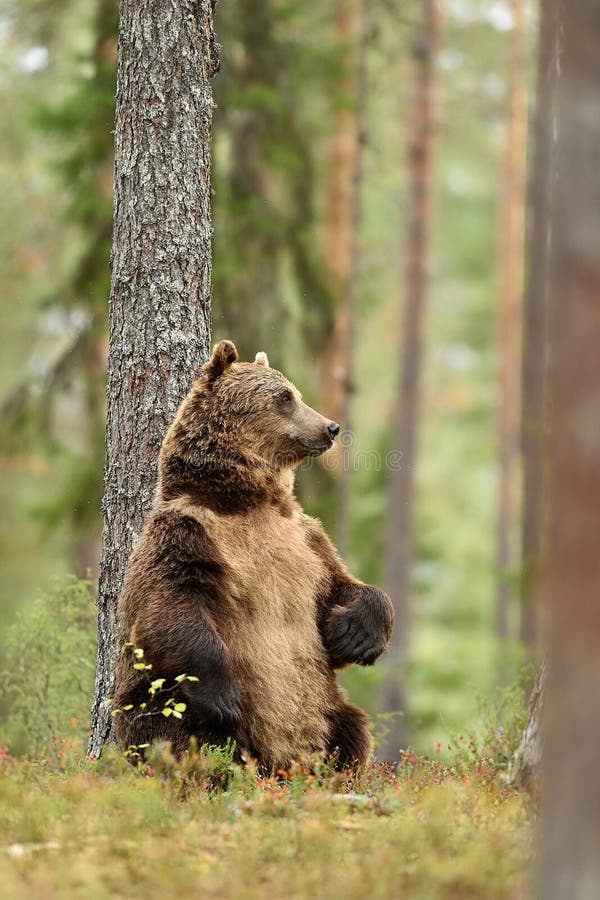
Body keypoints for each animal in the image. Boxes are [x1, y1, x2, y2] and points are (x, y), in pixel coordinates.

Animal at [113, 340, 394, 769]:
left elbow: (342, 586)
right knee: (173, 731)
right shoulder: (187, 534)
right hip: (159, 697)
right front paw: (223, 697)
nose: (330, 427)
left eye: (295, 393)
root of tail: (280, 759)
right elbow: (170, 605)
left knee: (353, 730)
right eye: (285, 397)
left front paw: (352, 635)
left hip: (328, 704)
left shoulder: (305, 540)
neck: (244, 499)